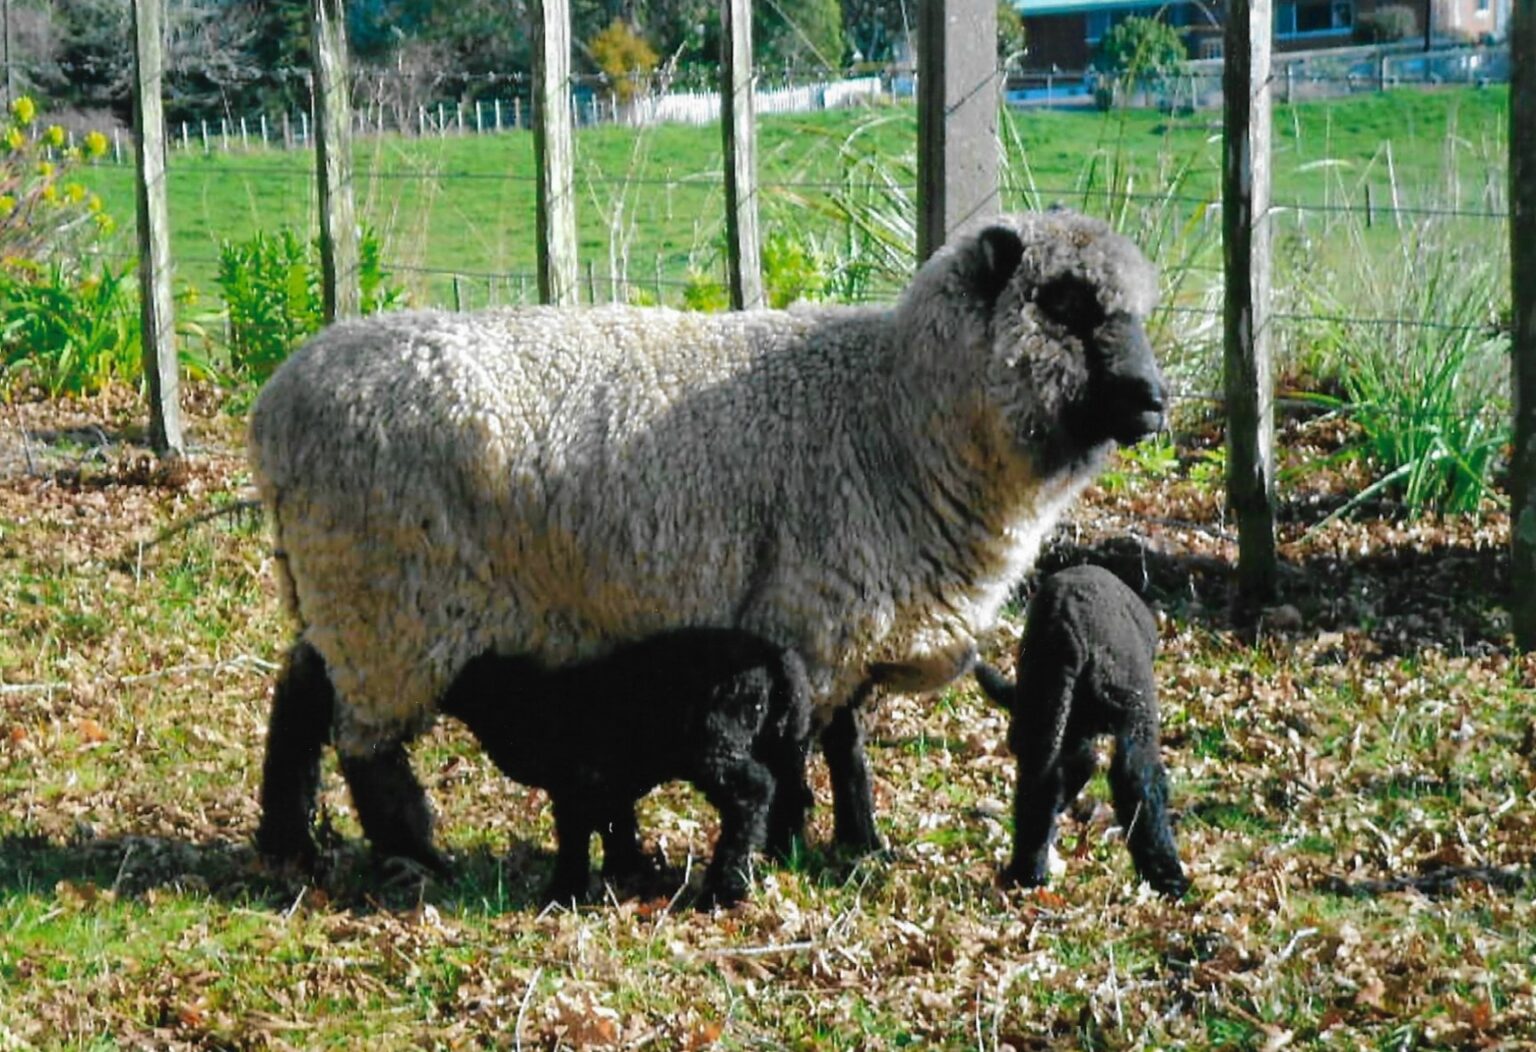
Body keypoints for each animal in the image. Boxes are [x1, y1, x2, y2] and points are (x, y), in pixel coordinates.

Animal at [248, 208, 1166, 873]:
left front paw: (859, 840)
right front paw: (797, 841)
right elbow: (805, 748)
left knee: (299, 693)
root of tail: (277, 405)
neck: (893, 411)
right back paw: (414, 850)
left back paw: (293, 838)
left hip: (338, 590)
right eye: (1064, 304)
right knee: (365, 744)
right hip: (393, 605)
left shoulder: (851, 625)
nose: (1155, 399)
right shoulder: (811, 619)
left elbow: (848, 746)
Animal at [437, 627, 813, 907]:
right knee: (792, 794)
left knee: (752, 794)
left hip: (718, 743)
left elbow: (575, 838)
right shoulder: (607, 785)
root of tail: (777, 660)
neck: (533, 702)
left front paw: (564, 892)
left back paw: (724, 888)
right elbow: (617, 827)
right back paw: (782, 856)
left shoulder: (577, 785)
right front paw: (625, 873)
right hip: (786, 741)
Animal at [974, 565, 1188, 897]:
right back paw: (1168, 877)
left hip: (1044, 704)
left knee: (1039, 780)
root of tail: (1067, 633)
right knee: (1136, 777)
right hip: (1132, 704)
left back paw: (1027, 872)